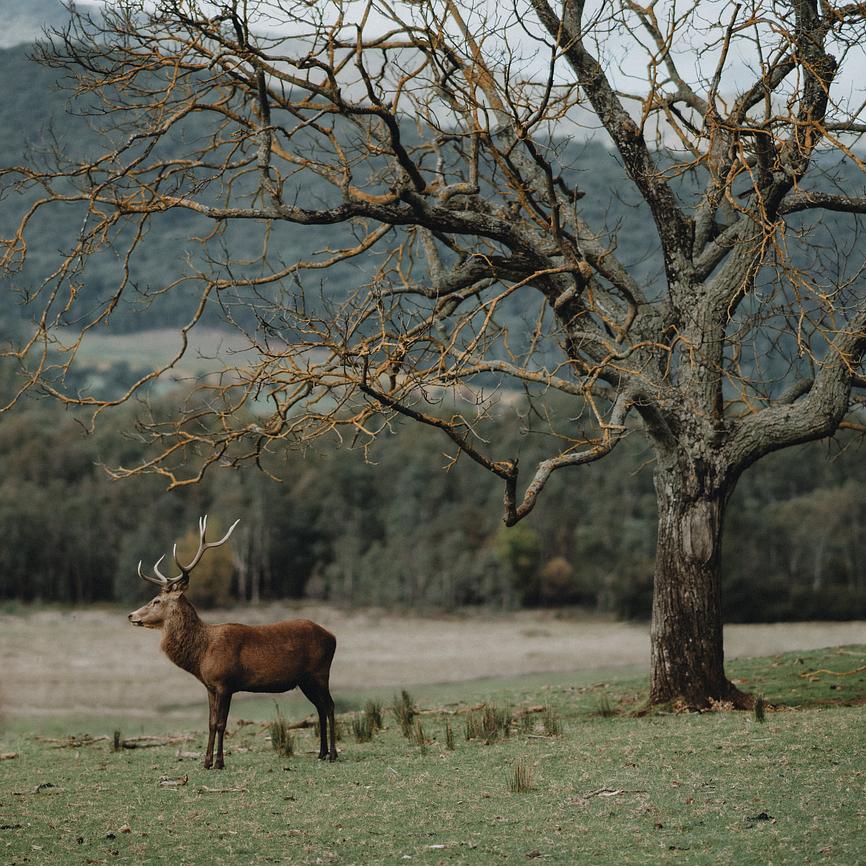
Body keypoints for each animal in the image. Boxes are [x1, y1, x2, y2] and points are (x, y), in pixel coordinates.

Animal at [128, 516, 338, 768]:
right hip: (305, 679)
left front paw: (219, 762)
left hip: (320, 672)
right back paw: (322, 753)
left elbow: (221, 724)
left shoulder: (225, 682)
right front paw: (206, 762)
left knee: (330, 706)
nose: (131, 615)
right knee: (320, 708)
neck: (202, 654)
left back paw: (333, 754)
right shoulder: (210, 686)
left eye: (156, 600)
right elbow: (210, 723)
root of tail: (333, 637)